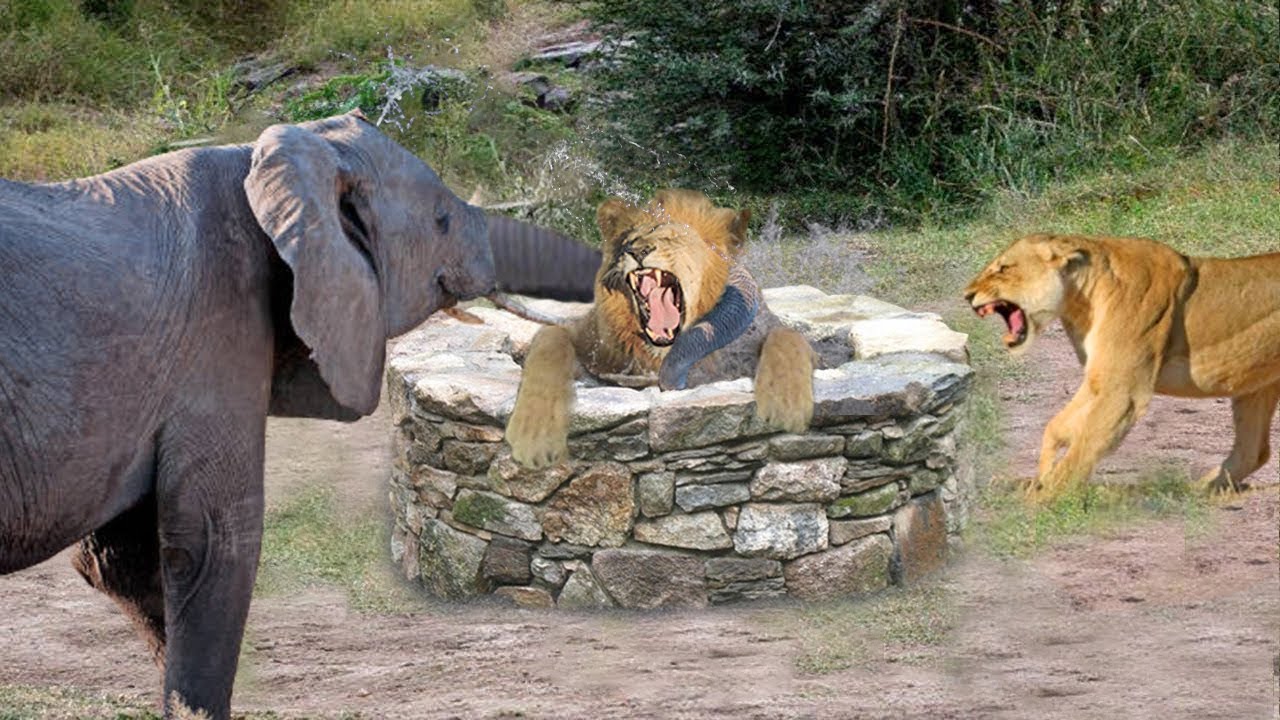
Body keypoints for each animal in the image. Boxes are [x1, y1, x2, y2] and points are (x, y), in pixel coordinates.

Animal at [505, 189, 816, 468]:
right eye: (630, 239)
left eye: (672, 238)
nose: (637, 250)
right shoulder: (586, 340)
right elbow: (550, 342)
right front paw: (533, 436)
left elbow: (788, 336)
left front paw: (786, 407)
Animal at [964, 233, 1280, 502]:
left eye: (1003, 268)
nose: (967, 295)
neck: (1081, 302)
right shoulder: (1098, 380)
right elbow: (1057, 426)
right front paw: (1039, 476)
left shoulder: (1122, 392)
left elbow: (1083, 447)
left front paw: (1041, 500)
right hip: (1255, 386)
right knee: (1255, 450)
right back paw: (1196, 490)